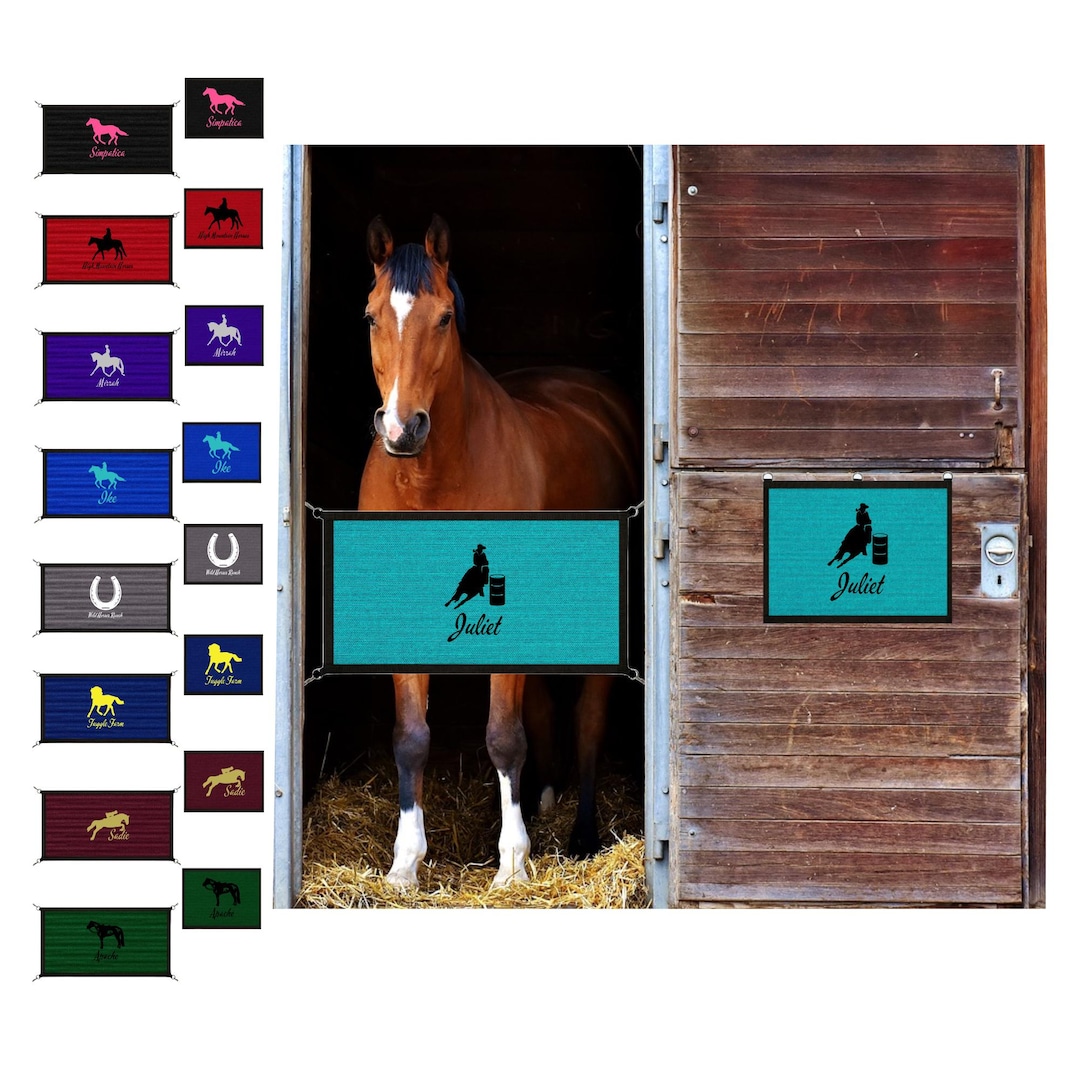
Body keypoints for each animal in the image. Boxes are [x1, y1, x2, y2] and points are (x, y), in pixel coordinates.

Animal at [357, 215, 639, 887]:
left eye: (443, 318)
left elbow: (505, 735)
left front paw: (512, 864)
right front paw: (404, 864)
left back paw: (581, 834)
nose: (402, 430)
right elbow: (412, 736)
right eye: (371, 316)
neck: (431, 480)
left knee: (588, 720)